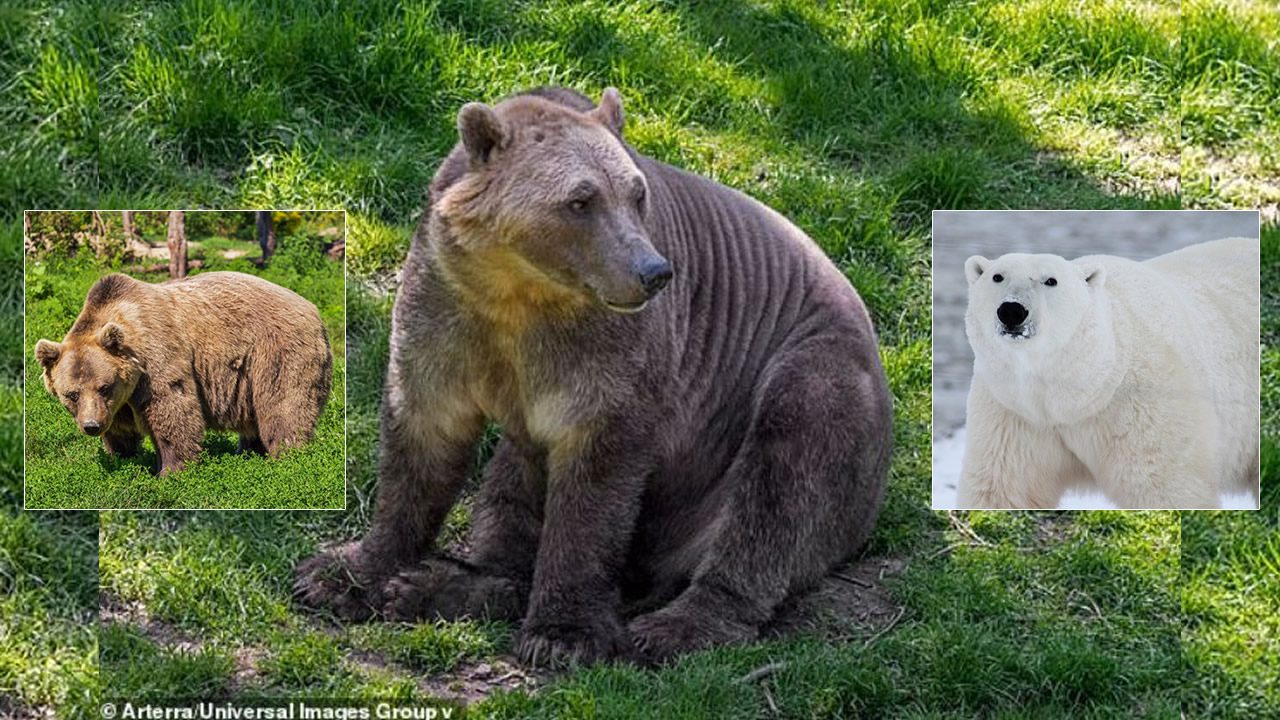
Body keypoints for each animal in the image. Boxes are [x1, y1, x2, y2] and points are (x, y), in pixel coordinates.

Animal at [35, 271, 332, 475]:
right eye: (71, 394)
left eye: (104, 386)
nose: (91, 426)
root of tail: (314, 310)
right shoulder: (118, 402)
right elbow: (120, 430)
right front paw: (121, 456)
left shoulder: (156, 360)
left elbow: (173, 410)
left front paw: (171, 470)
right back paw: (248, 452)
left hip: (276, 352)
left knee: (283, 407)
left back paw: (287, 456)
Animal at [294, 87, 893, 666]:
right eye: (581, 200)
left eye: (636, 194)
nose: (653, 272)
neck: (518, 290)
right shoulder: (447, 307)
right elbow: (422, 433)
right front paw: (340, 575)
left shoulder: (611, 356)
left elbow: (596, 481)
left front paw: (564, 633)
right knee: (510, 488)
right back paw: (437, 586)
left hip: (808, 374)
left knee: (783, 478)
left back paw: (677, 626)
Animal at [957, 237, 1260, 509]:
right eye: (997, 276)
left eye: (1051, 280)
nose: (1012, 310)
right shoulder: (1015, 413)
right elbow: (1003, 486)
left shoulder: (1143, 406)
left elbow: (1164, 483)